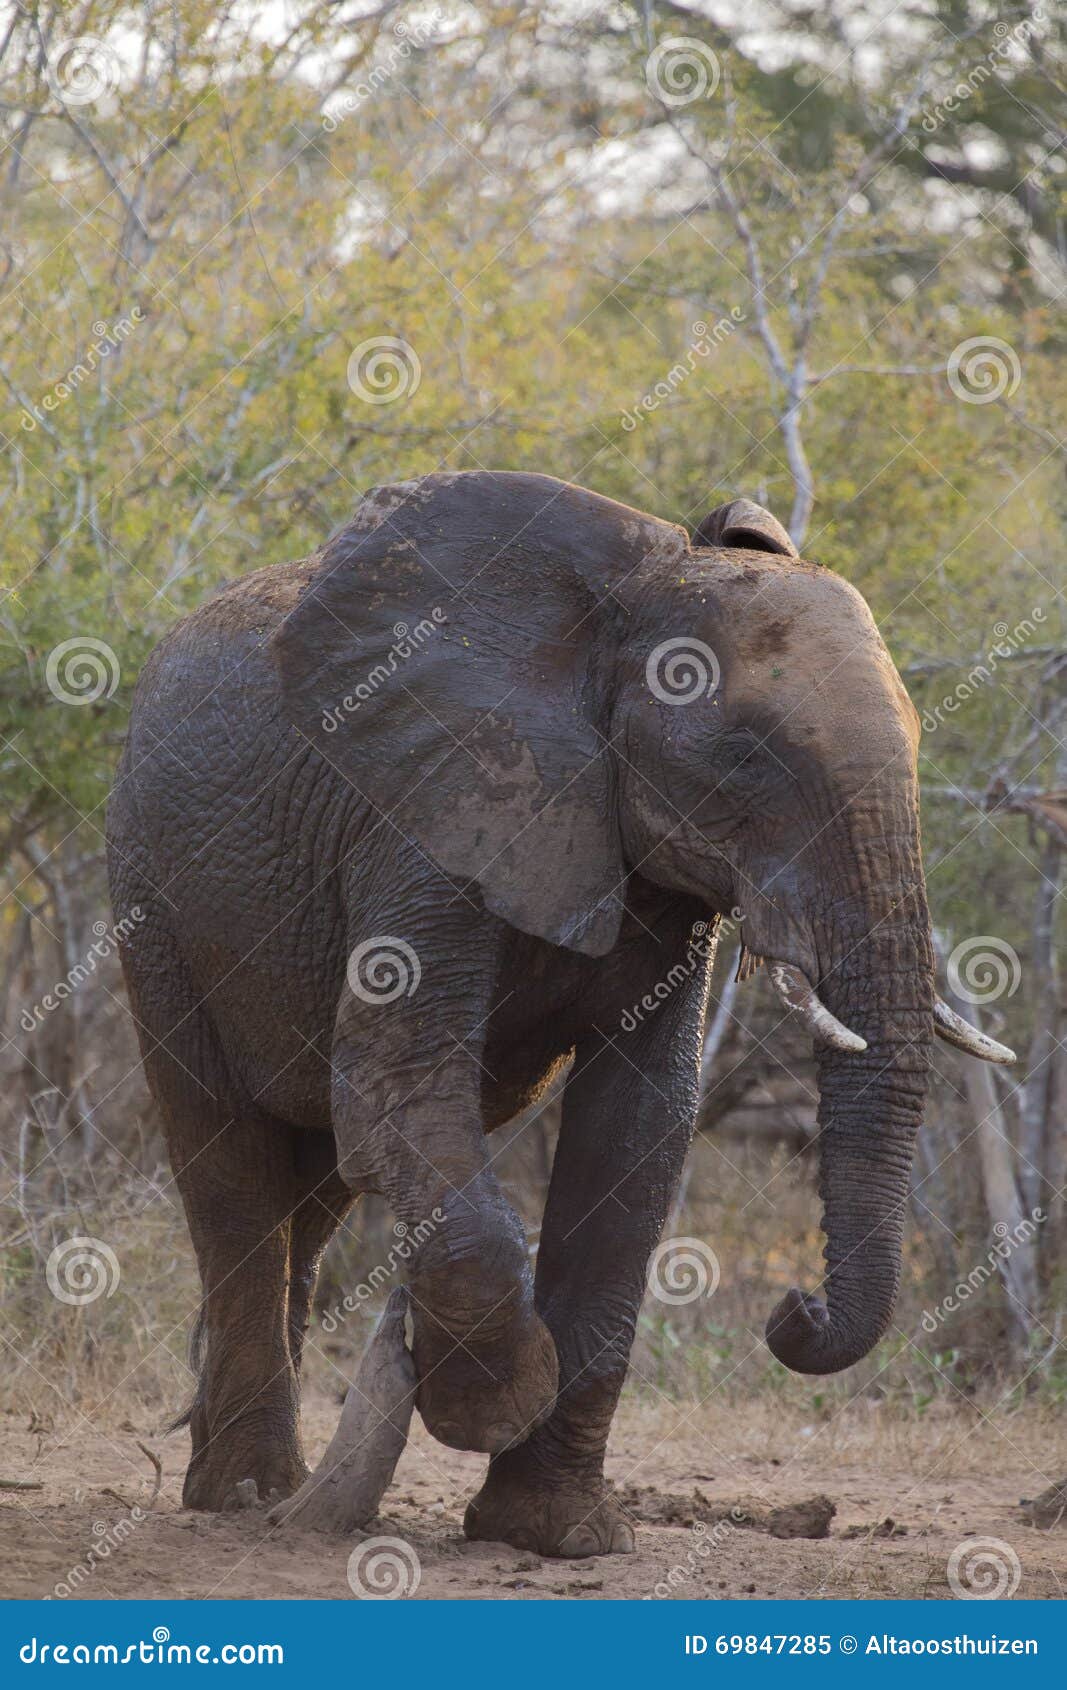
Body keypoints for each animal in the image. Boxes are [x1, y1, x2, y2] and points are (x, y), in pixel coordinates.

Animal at [106, 470, 1013, 1558]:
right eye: (745, 756)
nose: (791, 1310)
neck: (624, 601)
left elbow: (636, 1126)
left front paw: (551, 1535)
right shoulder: (427, 811)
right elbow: (400, 1087)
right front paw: (487, 1407)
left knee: (313, 1184)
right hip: (154, 900)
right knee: (235, 1171)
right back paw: (243, 1493)